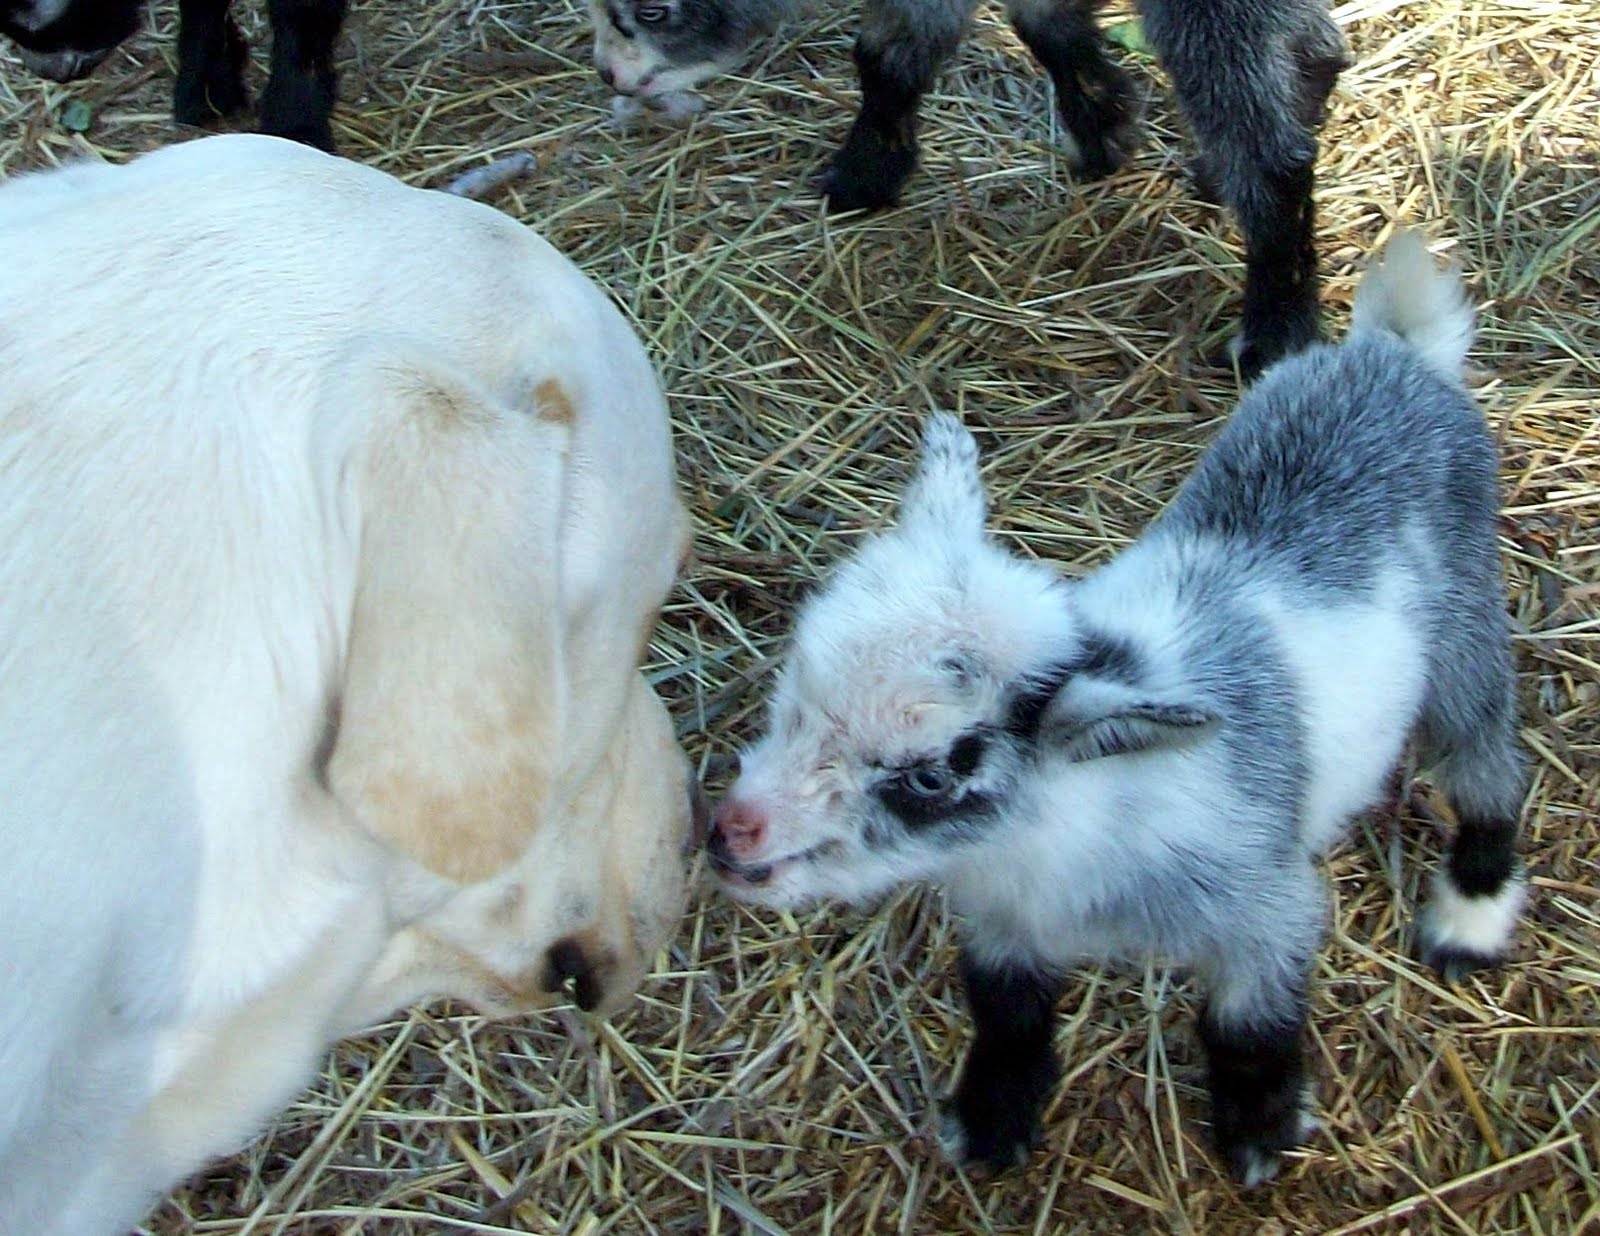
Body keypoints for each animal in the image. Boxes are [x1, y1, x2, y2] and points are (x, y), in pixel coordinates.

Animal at [588, 0, 1351, 375]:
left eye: (654, 11)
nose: (609, 76)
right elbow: (1043, 24)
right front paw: (1102, 125)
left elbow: (886, 55)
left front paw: (864, 175)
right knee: (1318, 44)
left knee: (1270, 149)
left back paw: (1273, 333)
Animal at [706, 233, 1526, 1185]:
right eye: (791, 698)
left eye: (937, 773)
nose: (731, 831)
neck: (1072, 820)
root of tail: (1395, 352)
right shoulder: (1004, 918)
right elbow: (1006, 1015)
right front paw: (990, 1126)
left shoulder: (1265, 905)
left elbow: (1252, 1023)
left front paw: (1258, 1137)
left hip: (1467, 633)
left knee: (1490, 767)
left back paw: (1471, 915)